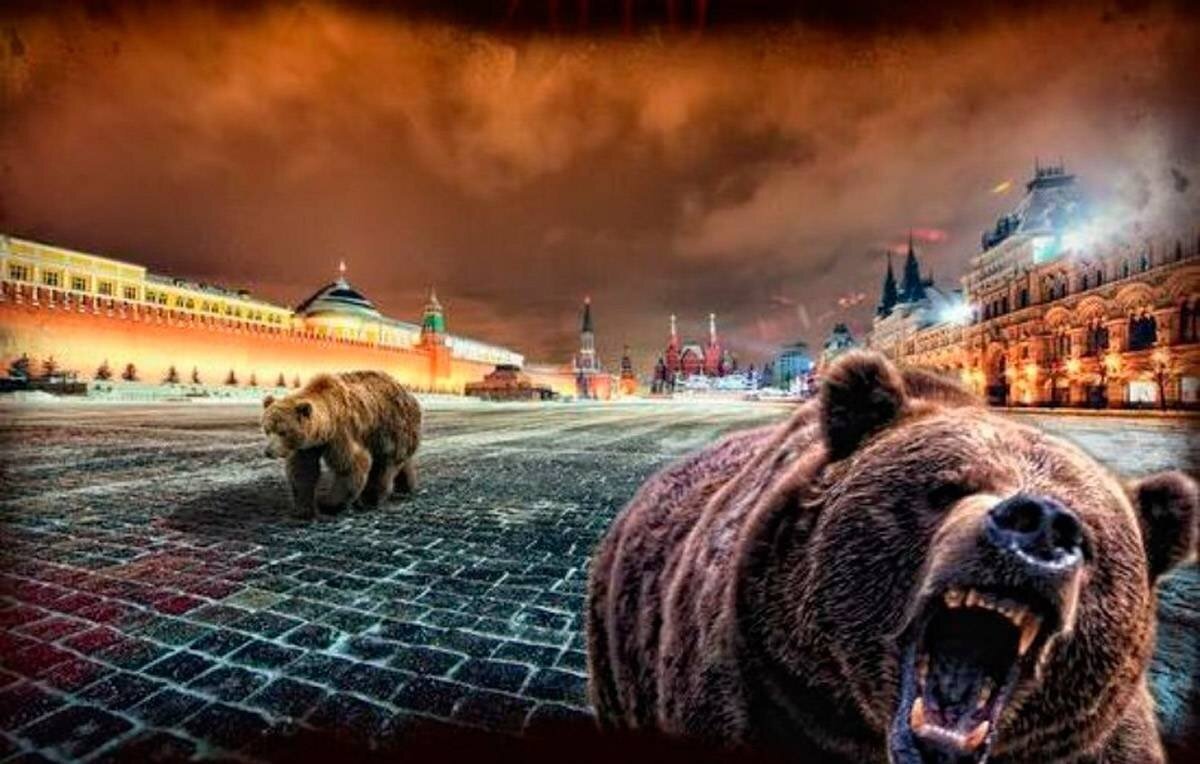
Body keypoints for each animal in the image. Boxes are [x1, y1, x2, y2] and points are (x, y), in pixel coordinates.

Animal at [261, 370, 421, 517]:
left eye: (283, 432)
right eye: (267, 429)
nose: (268, 451)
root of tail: (408, 393)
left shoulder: (341, 433)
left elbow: (350, 464)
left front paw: (328, 504)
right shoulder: (309, 445)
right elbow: (303, 469)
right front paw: (303, 509)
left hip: (389, 427)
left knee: (385, 464)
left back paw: (371, 499)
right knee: (402, 462)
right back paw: (407, 486)